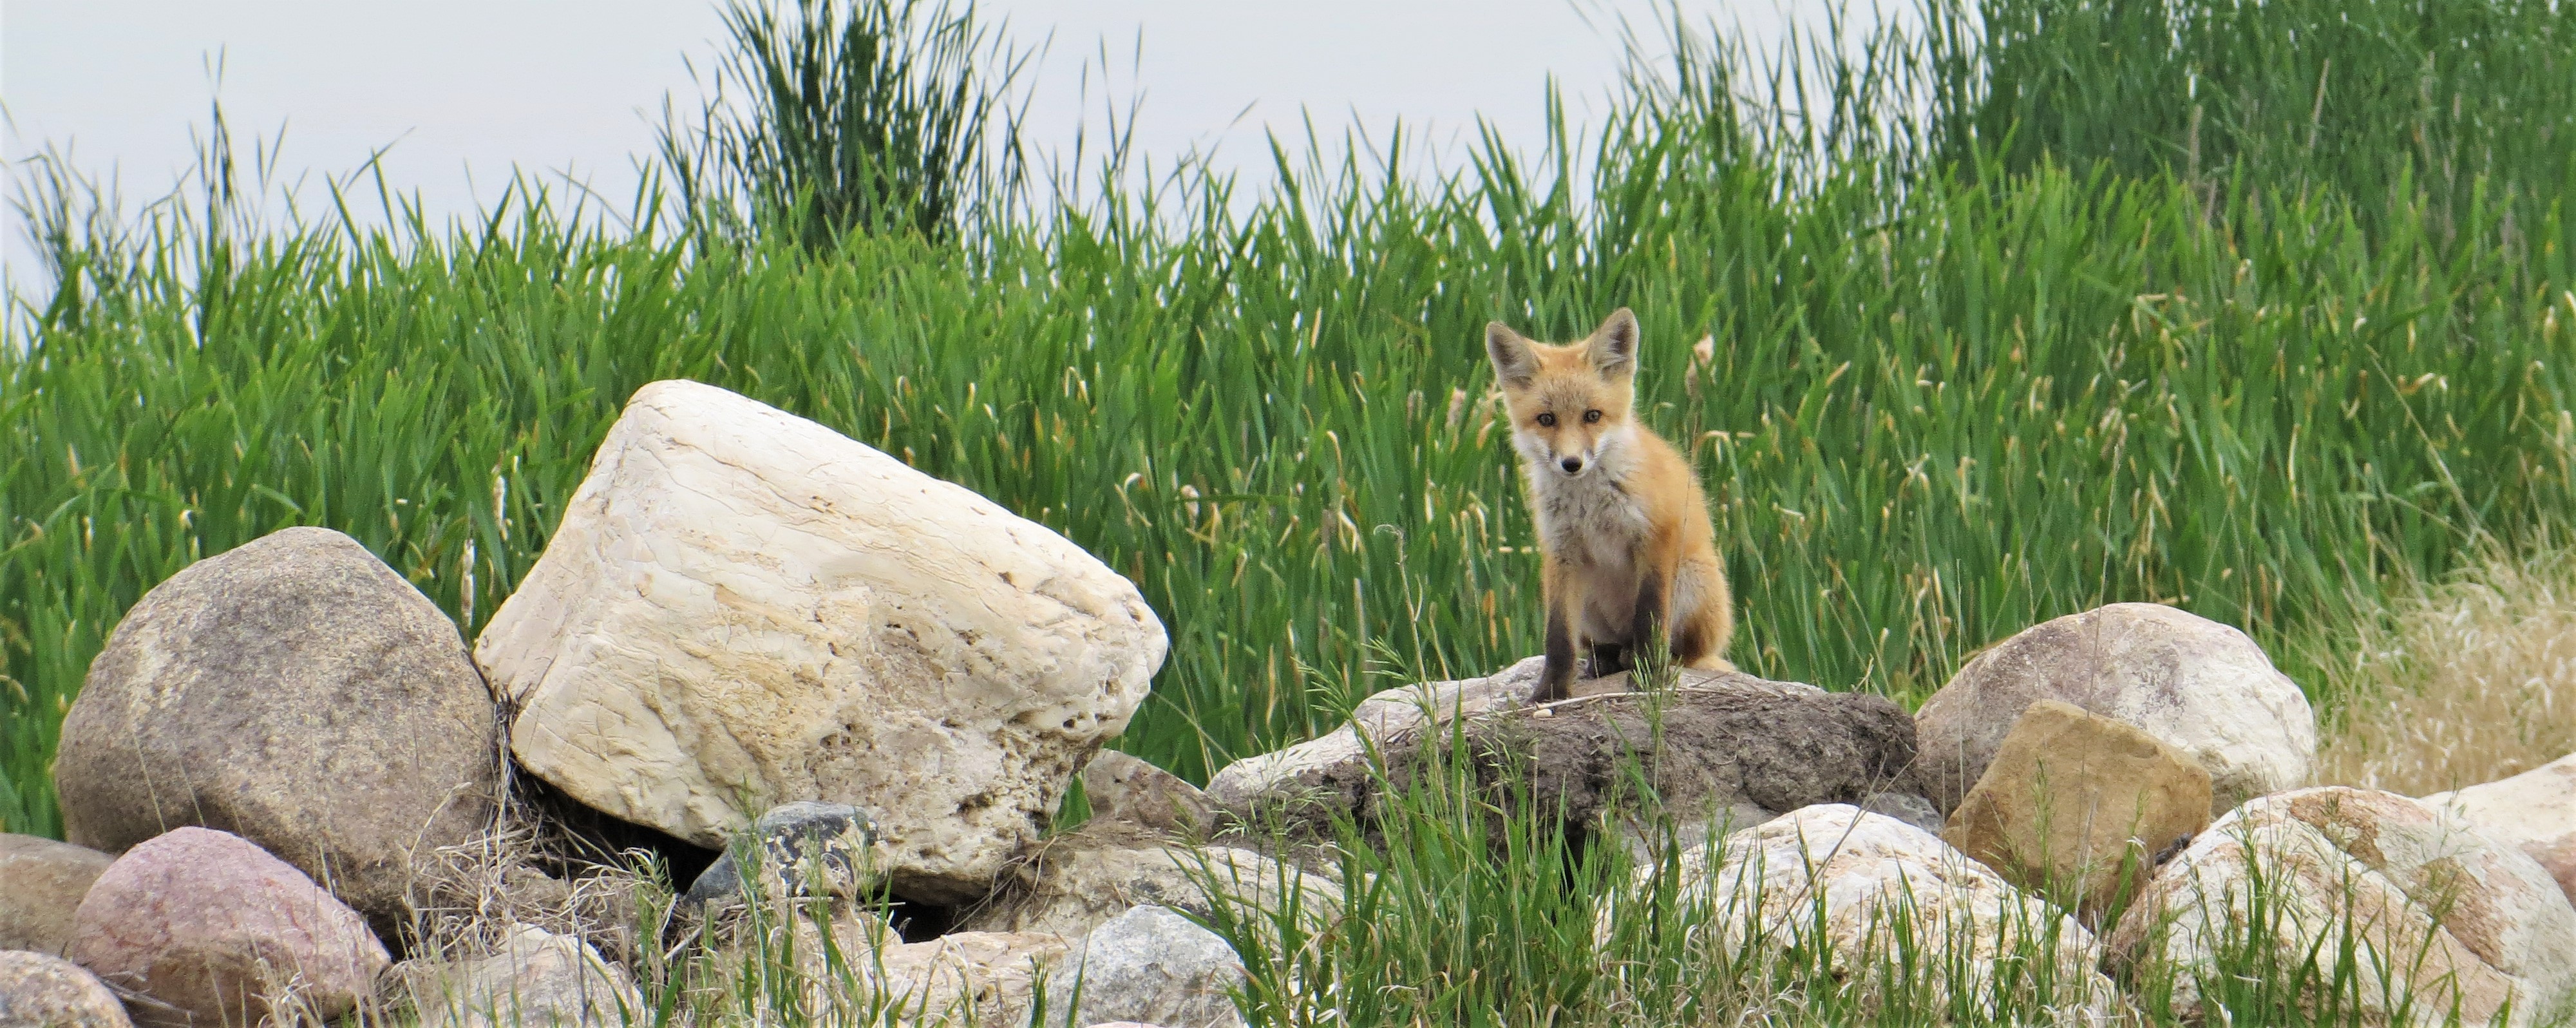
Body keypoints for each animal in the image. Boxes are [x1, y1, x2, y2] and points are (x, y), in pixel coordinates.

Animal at [1484, 307, 1735, 703]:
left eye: (1593, 416)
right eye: (1546, 419)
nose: (1572, 464)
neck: (1589, 505)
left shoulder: (1655, 538)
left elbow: (1650, 619)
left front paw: (1648, 679)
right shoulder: (1561, 552)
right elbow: (1558, 639)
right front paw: (1548, 694)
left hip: (1692, 580)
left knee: (1681, 651)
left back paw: (1653, 660)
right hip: (1587, 600)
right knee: (1601, 646)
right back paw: (1605, 660)